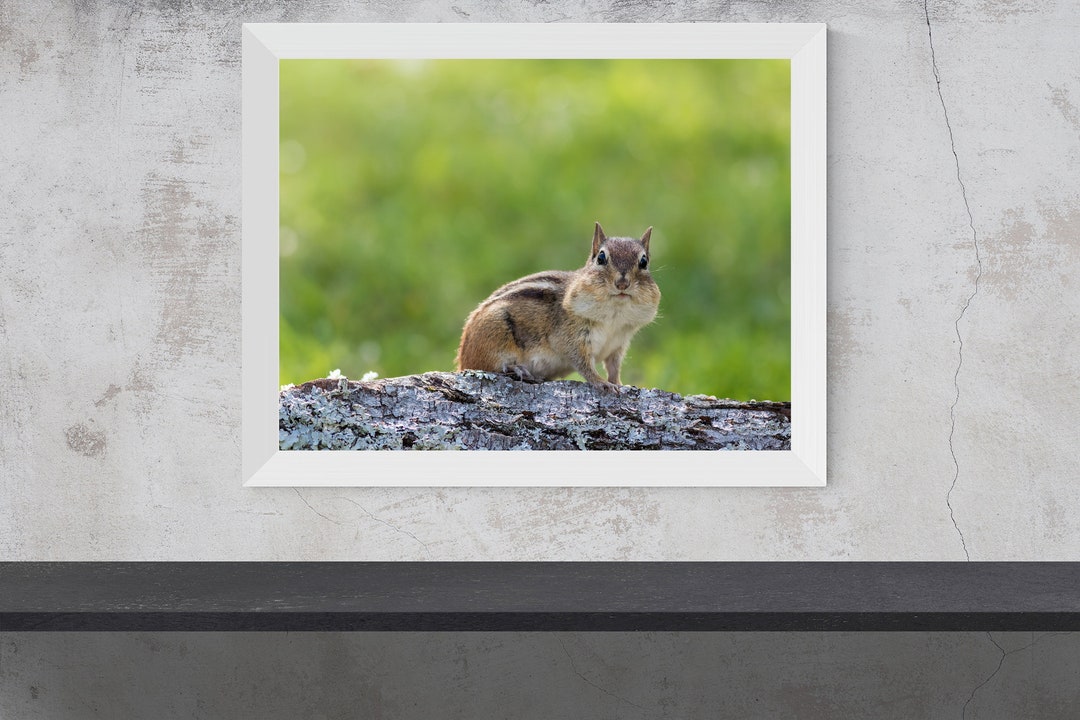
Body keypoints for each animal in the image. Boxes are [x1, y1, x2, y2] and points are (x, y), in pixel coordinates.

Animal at [455, 222, 661, 391]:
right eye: (601, 258)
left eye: (644, 261)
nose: (622, 284)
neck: (614, 318)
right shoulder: (571, 336)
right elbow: (583, 363)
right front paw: (601, 382)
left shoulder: (619, 343)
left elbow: (614, 367)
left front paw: (619, 383)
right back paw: (517, 368)